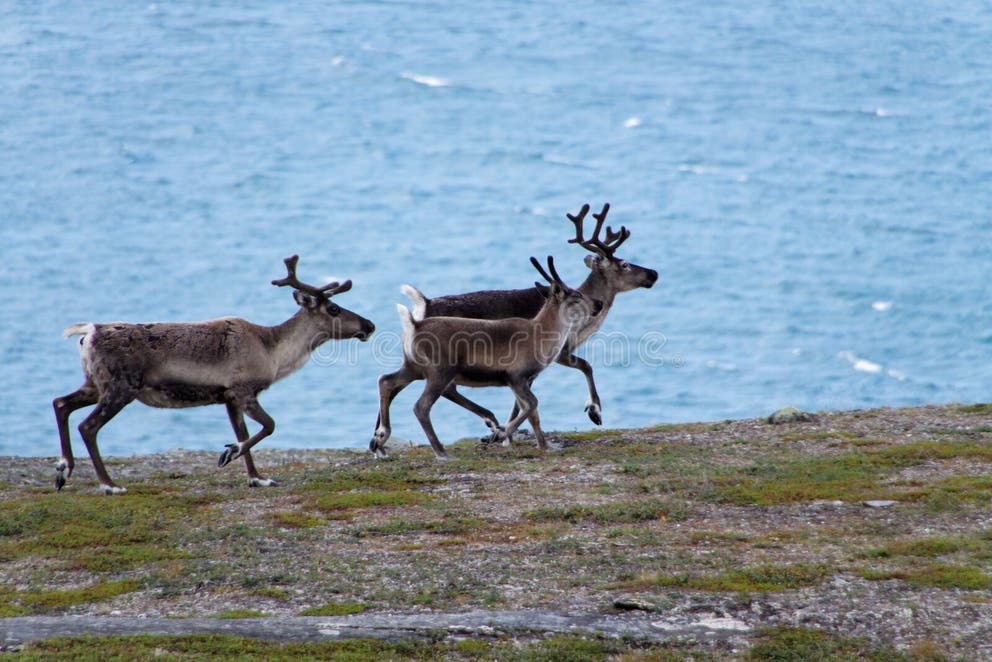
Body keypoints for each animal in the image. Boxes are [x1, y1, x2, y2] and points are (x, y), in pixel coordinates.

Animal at [53, 255, 375, 494]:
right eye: (334, 309)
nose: (369, 325)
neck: (273, 352)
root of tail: (88, 333)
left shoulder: (228, 396)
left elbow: (244, 431)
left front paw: (257, 477)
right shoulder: (243, 390)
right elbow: (269, 426)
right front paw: (229, 452)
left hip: (95, 384)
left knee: (60, 403)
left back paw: (63, 470)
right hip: (121, 387)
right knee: (87, 426)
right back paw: (109, 484)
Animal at [370, 256, 604, 460]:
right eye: (576, 296)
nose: (599, 304)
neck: (543, 336)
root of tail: (414, 324)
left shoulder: (519, 380)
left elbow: (533, 413)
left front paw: (545, 445)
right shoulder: (516, 376)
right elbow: (532, 405)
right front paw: (500, 434)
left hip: (414, 367)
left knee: (386, 381)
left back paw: (380, 439)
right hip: (440, 371)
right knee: (421, 406)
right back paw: (442, 452)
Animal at [403, 203, 657, 438]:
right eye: (625, 264)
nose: (653, 273)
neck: (581, 327)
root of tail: (424, 304)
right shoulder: (556, 352)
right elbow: (586, 366)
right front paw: (595, 411)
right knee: (447, 388)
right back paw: (490, 420)